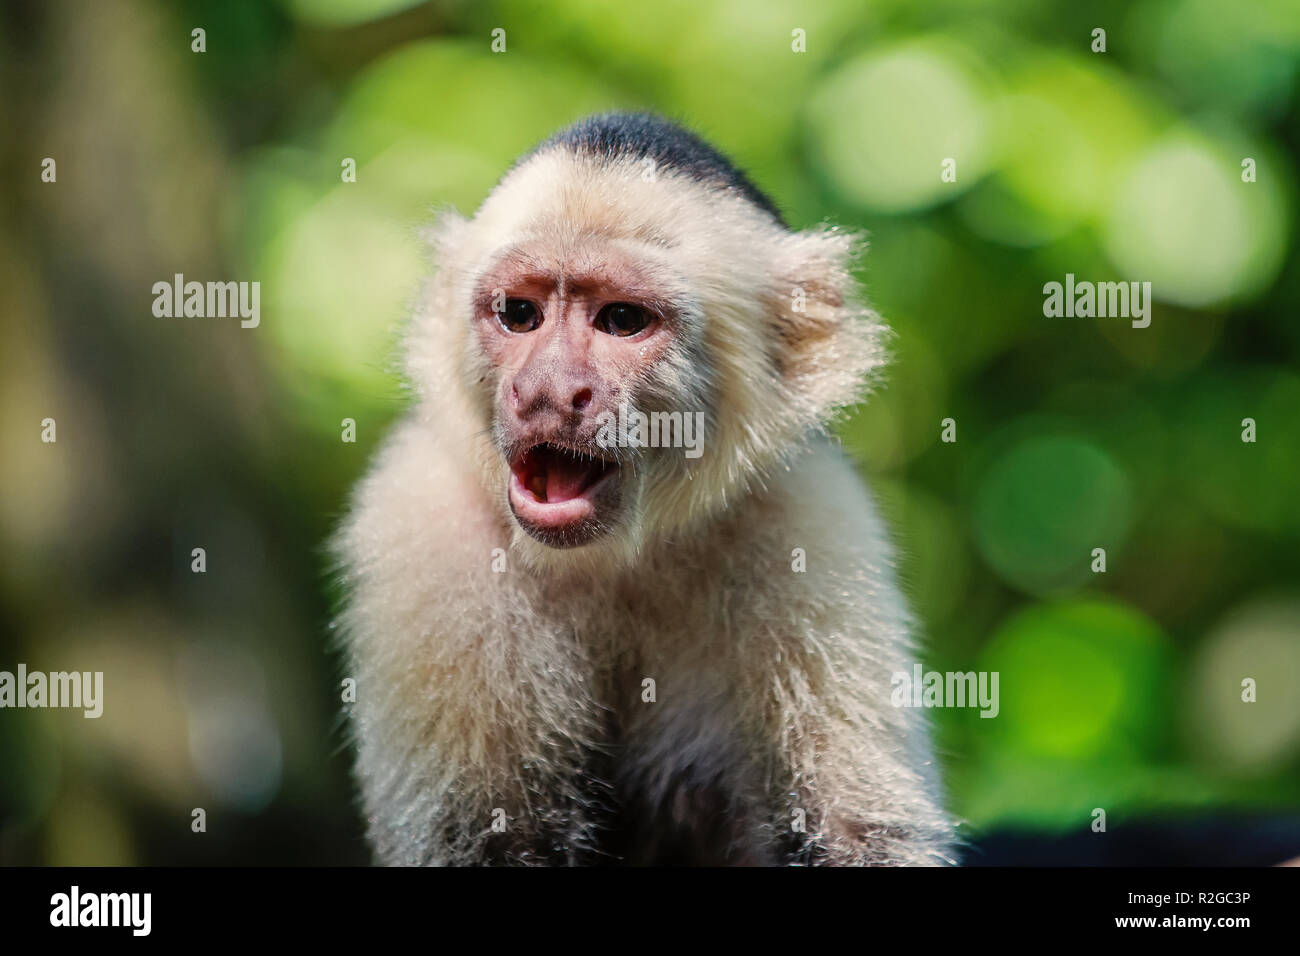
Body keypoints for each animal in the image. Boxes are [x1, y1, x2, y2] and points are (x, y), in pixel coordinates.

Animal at [332, 112, 957, 866]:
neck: (612, 558)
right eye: (519, 314)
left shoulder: (814, 516)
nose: (545, 391)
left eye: (623, 321)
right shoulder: (423, 523)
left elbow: (853, 837)